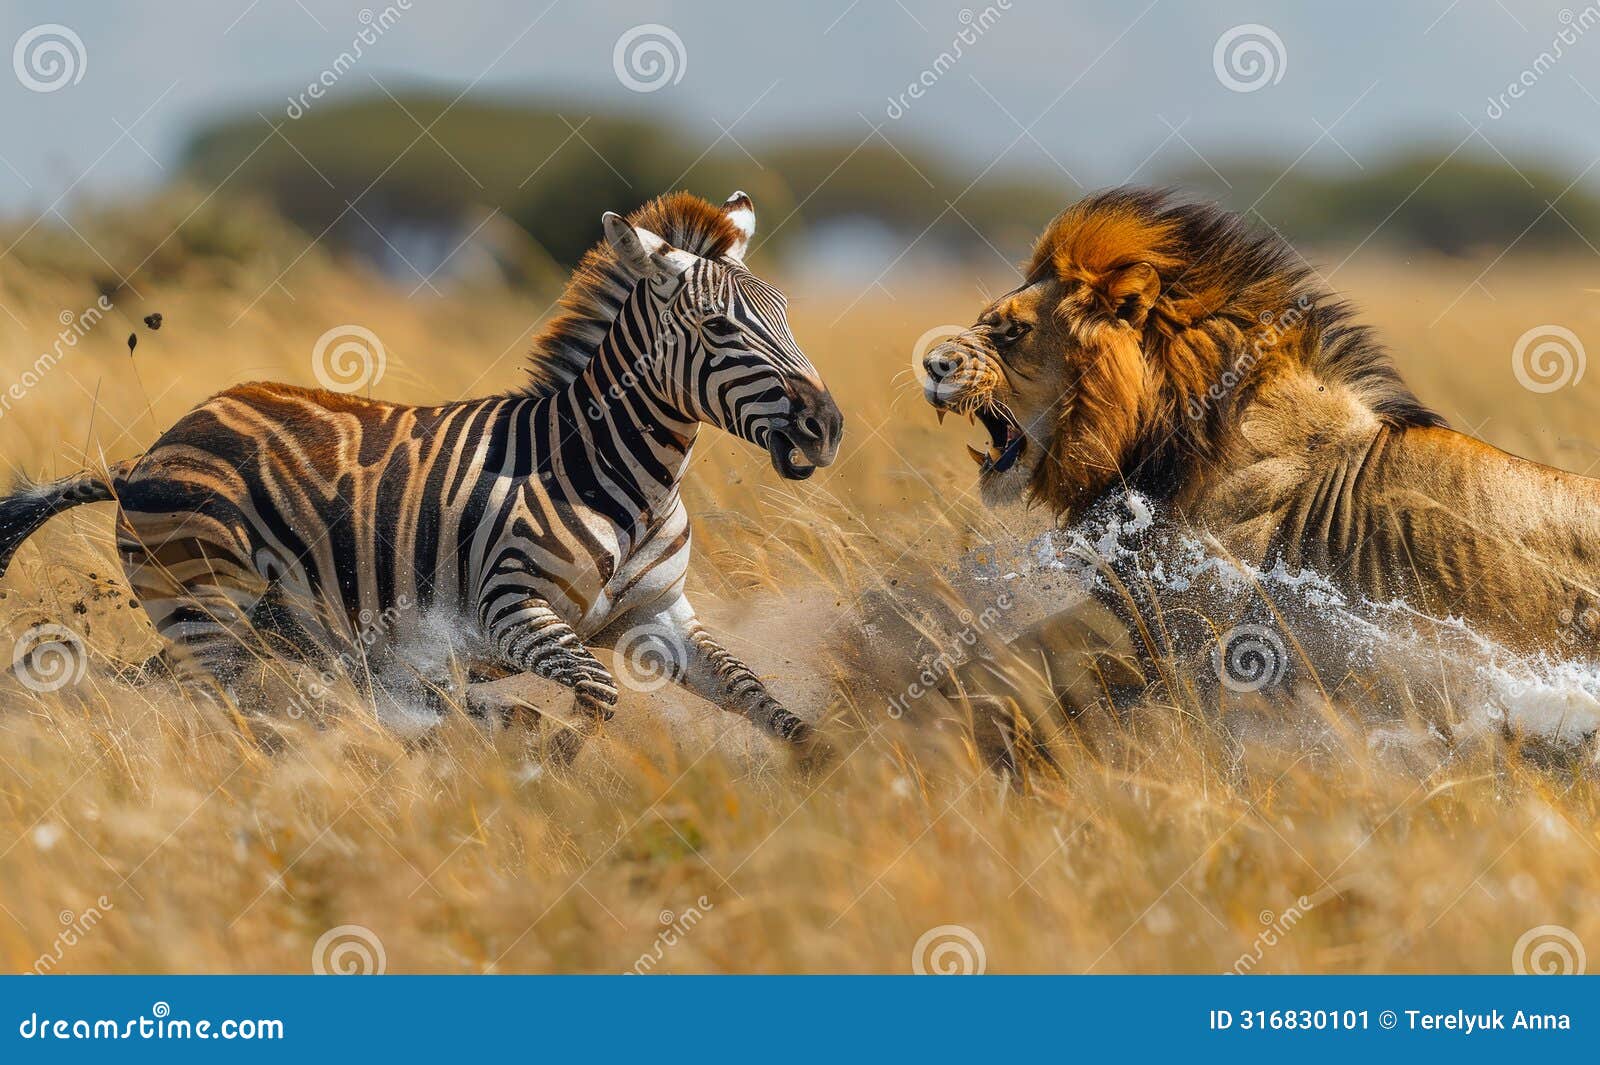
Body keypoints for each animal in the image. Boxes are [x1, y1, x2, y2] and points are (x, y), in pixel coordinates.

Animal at [0, 190, 843, 762]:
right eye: (719, 327)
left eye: (786, 312)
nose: (827, 425)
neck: (617, 479)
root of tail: (145, 454)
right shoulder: (508, 610)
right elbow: (597, 697)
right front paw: (547, 758)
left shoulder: (658, 617)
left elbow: (755, 694)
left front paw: (828, 774)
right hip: (209, 611)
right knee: (233, 717)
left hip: (250, 625)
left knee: (180, 695)